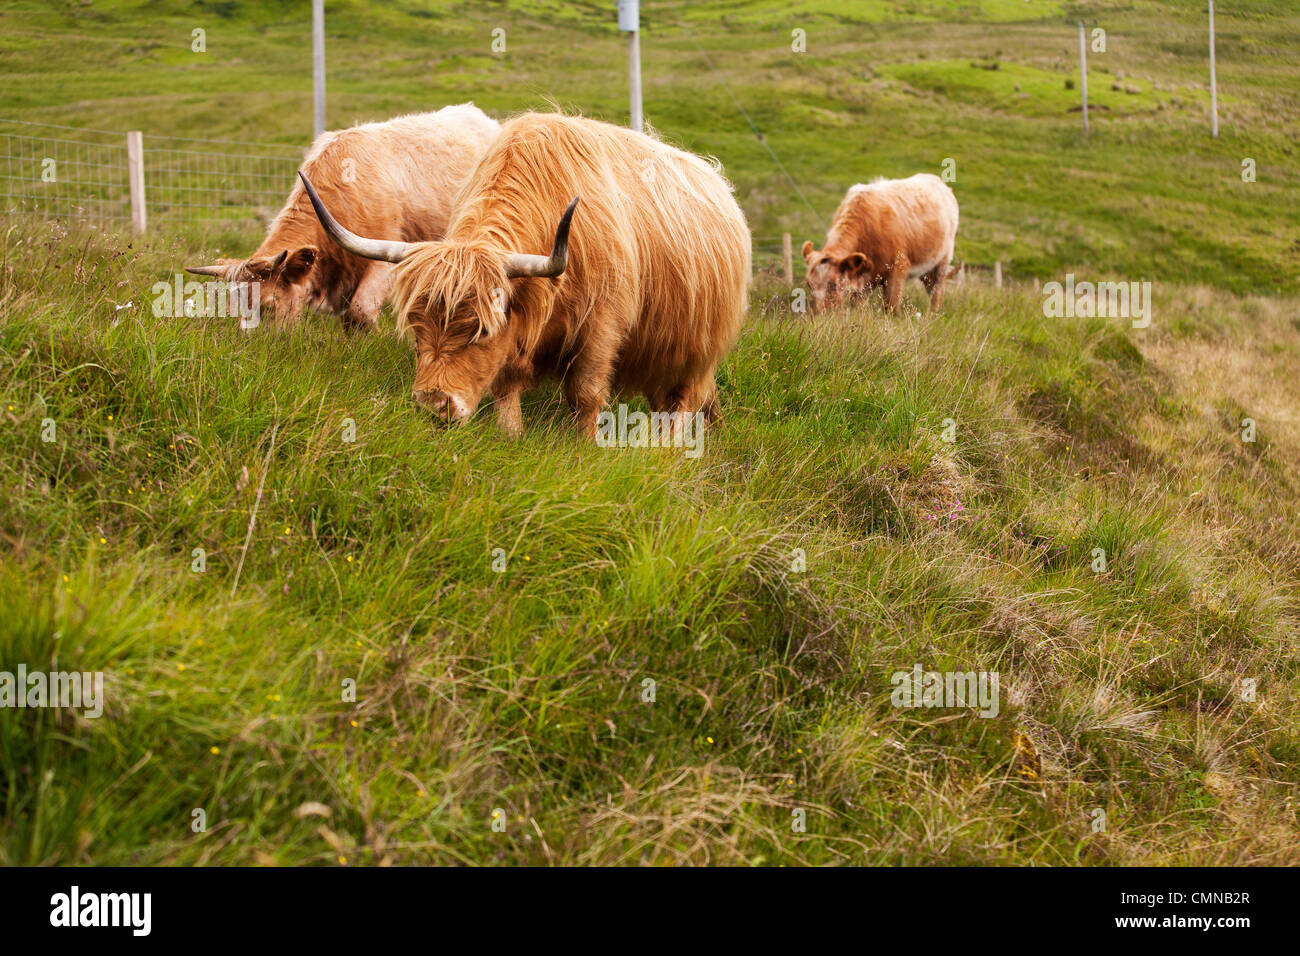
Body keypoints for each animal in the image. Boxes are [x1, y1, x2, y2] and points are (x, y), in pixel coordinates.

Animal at [297, 111, 751, 439]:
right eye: (416, 328)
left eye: (480, 330)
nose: (434, 406)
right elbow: (507, 380)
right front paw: (510, 433)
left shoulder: (602, 324)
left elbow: (586, 393)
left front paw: (586, 448)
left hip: (696, 350)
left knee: (685, 399)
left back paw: (671, 450)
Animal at [801, 173, 958, 313]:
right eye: (809, 284)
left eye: (833, 284)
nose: (819, 313)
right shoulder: (865, 281)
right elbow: (857, 305)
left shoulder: (898, 269)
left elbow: (891, 307)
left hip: (942, 262)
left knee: (937, 290)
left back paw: (934, 312)